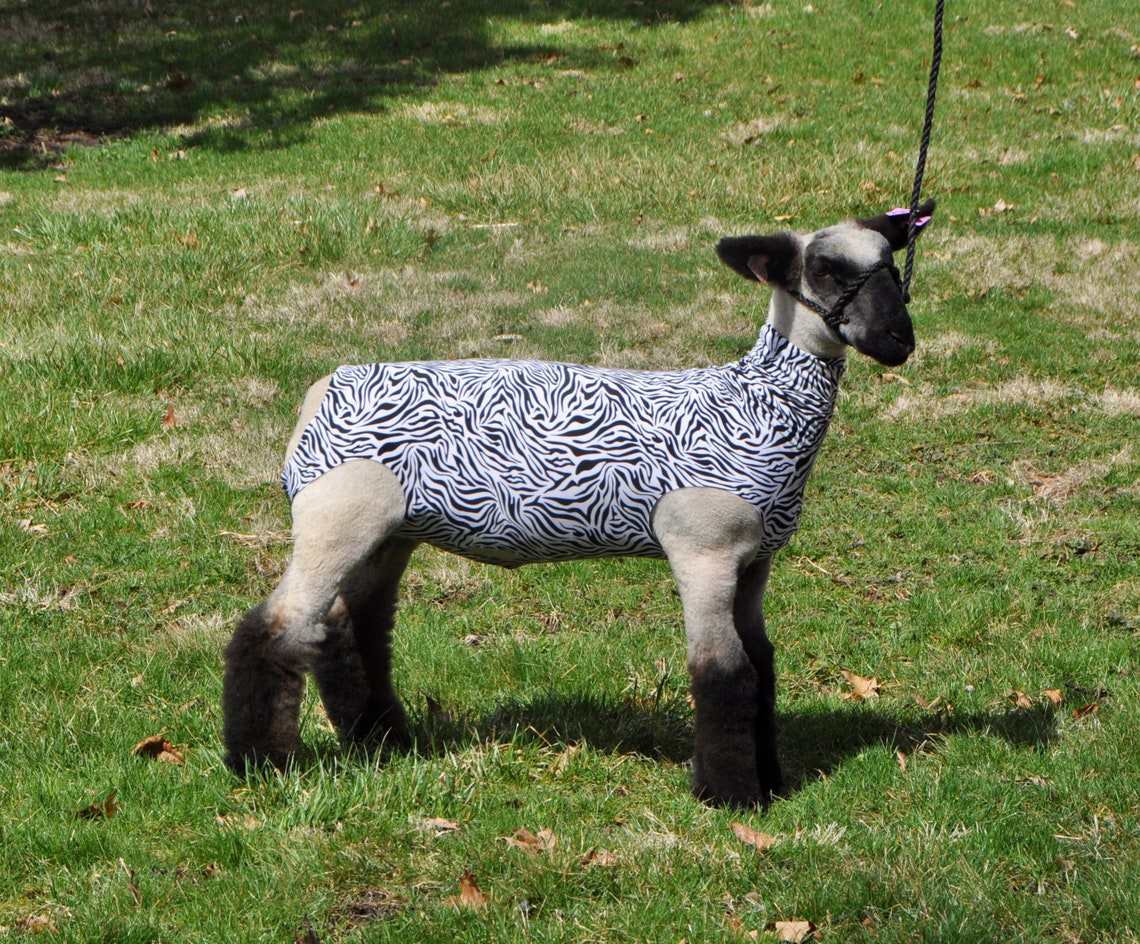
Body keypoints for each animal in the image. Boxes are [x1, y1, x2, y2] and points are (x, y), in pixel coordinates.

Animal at [222, 201, 935, 807]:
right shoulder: (703, 549)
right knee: (275, 628)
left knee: (352, 628)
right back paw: (258, 762)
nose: (899, 338)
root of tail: (317, 394)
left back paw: (382, 741)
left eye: (892, 265)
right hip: (334, 519)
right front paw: (734, 797)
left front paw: (770, 782)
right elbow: (724, 673)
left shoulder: (753, 561)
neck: (761, 402)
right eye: (825, 270)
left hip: (388, 532)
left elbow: (761, 667)